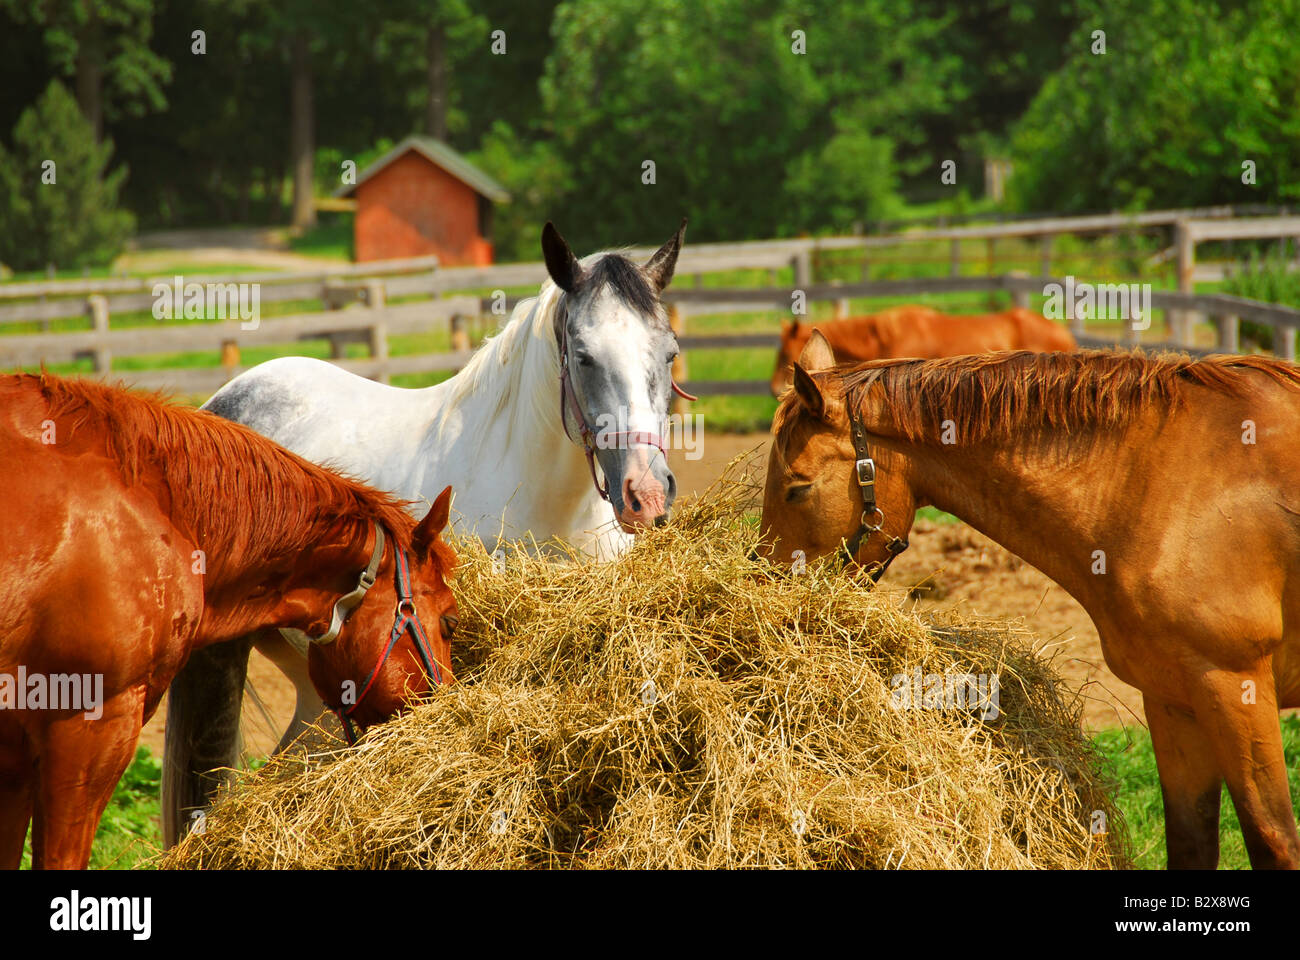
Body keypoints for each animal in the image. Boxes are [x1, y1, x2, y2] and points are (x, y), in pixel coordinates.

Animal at [166, 217, 696, 837]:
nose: (646, 493)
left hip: (316, 680)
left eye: (669, 353)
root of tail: (223, 401)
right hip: (220, 661)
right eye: (584, 357)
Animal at [759, 330, 1300, 868]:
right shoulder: (1173, 701)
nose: (768, 586)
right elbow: (1191, 841)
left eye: (797, 489)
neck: (1158, 483)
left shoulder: (1236, 688)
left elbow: (1274, 840)